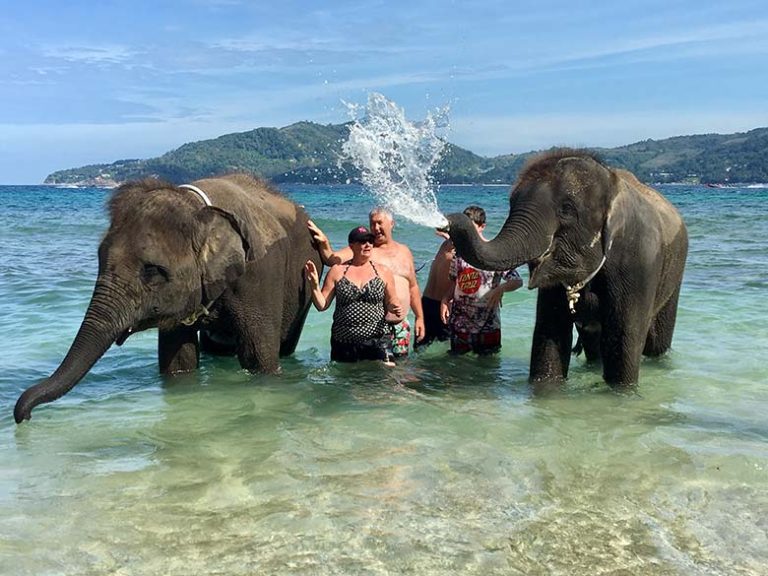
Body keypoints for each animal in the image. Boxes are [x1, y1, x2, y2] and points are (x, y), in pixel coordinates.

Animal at [15, 173, 322, 422]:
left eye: (152, 270)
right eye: (99, 258)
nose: (23, 416)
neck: (197, 206)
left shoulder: (258, 276)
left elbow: (258, 359)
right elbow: (178, 361)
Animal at [444, 149, 688, 387]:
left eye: (567, 209)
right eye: (511, 204)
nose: (447, 219)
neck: (611, 183)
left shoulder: (638, 261)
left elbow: (624, 338)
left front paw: (622, 391)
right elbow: (551, 332)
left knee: (655, 342)